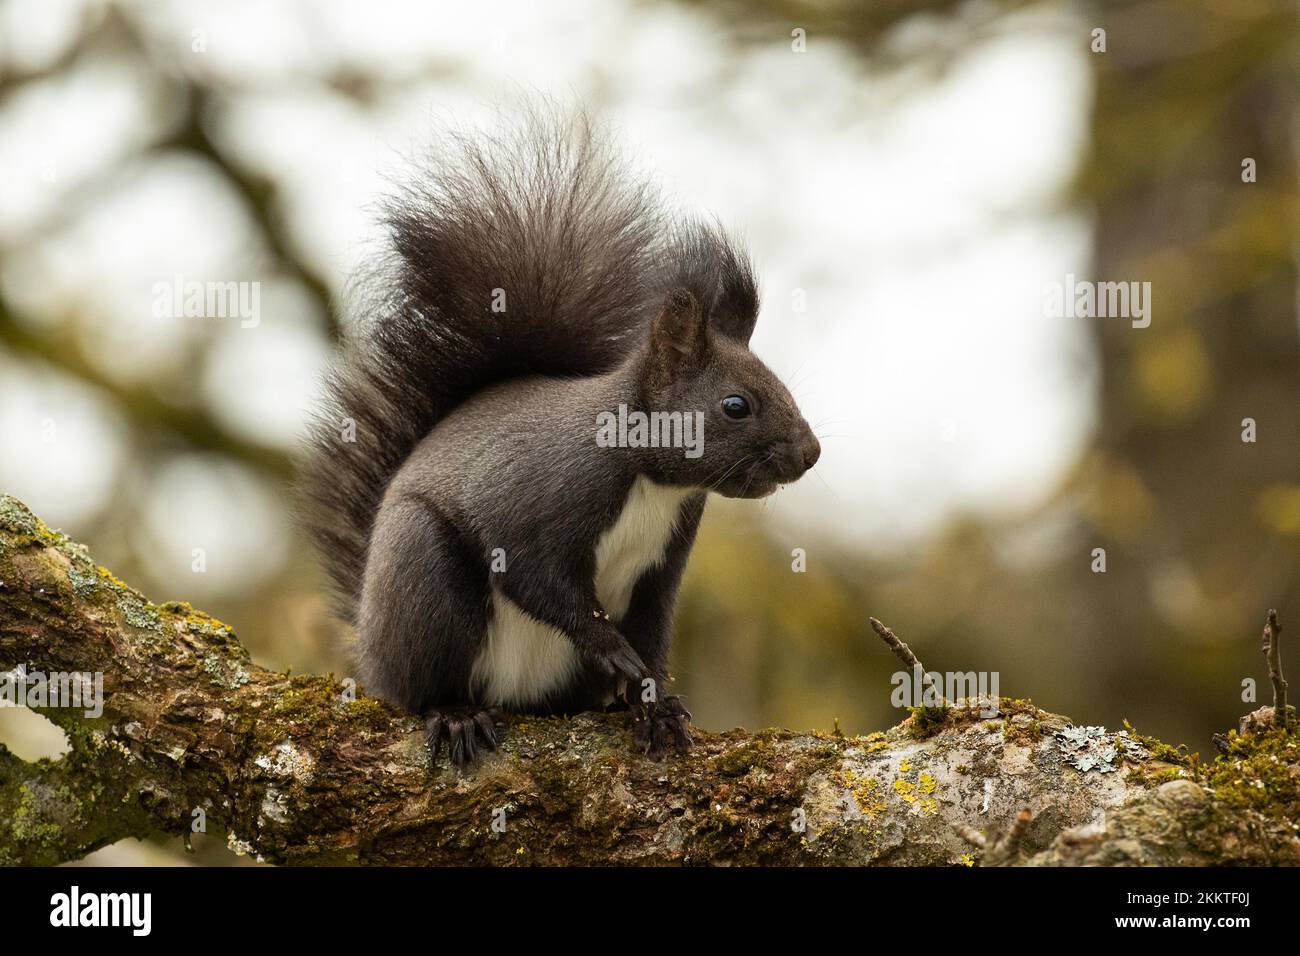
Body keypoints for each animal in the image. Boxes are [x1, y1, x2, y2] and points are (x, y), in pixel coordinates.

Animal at [299, 110, 820, 767]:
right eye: (736, 406)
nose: (809, 454)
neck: (648, 479)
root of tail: (369, 650)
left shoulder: (664, 565)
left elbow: (652, 633)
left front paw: (655, 703)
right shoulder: (539, 499)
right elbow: (539, 579)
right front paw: (613, 649)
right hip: (424, 580)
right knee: (423, 685)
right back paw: (454, 714)